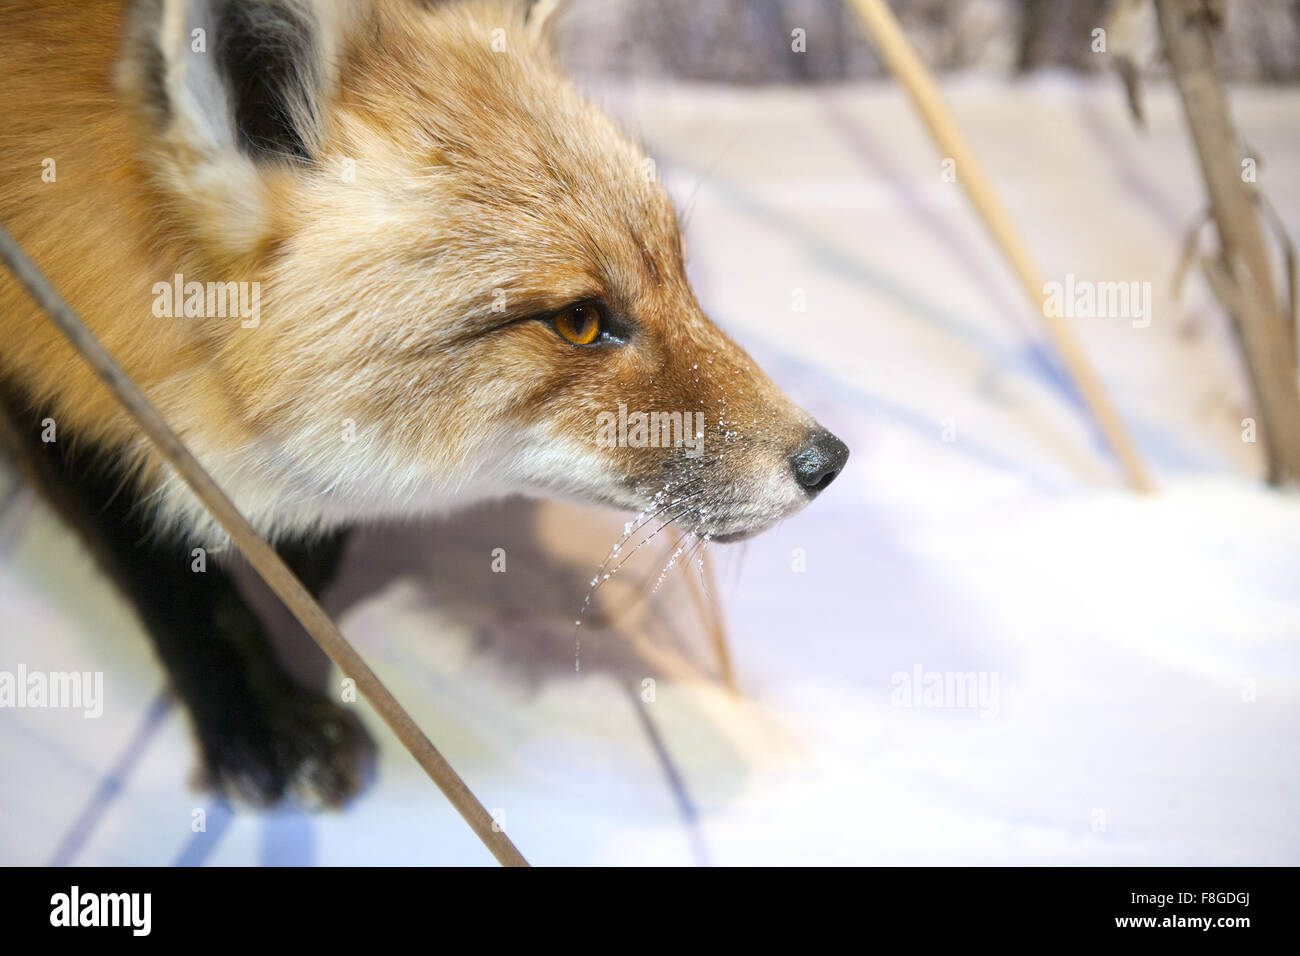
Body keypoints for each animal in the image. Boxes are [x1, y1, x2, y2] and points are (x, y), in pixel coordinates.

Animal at [0, 0, 848, 807]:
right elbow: (166, 572)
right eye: (580, 320)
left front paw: (301, 572)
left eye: (679, 270)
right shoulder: (59, 364)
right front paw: (254, 716)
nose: (828, 460)